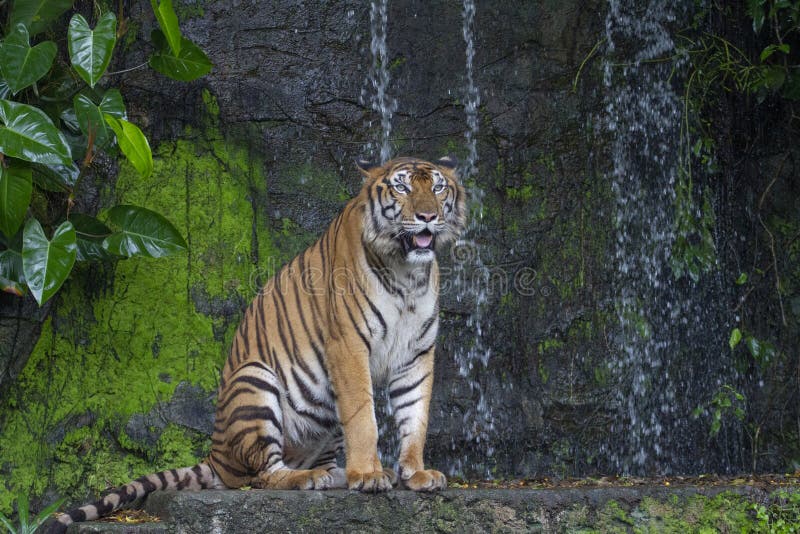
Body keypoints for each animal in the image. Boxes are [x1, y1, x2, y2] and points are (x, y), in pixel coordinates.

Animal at [51, 156, 467, 531]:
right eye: (402, 188)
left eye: (437, 188)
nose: (427, 216)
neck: (408, 273)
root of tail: (215, 454)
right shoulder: (348, 345)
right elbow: (365, 418)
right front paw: (368, 474)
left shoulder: (417, 353)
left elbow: (415, 415)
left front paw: (416, 473)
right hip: (256, 379)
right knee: (261, 476)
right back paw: (310, 478)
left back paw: (333, 475)